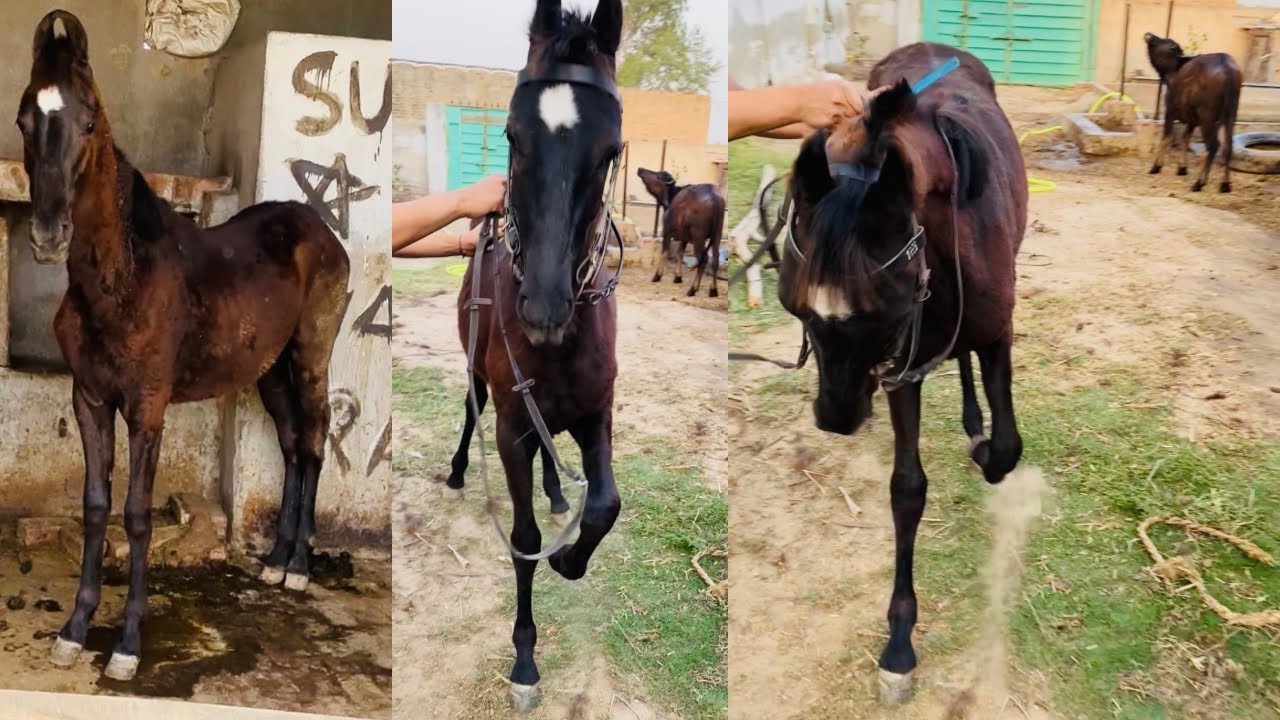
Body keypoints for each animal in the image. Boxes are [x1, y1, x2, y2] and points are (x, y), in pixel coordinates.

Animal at [19, 10, 349, 681]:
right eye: (23, 118)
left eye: (88, 121)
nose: (47, 233)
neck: (122, 279)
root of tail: (322, 231)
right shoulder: (89, 400)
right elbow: (96, 505)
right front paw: (74, 631)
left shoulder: (147, 409)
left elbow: (137, 514)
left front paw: (127, 644)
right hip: (269, 373)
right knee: (290, 444)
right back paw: (275, 560)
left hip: (311, 357)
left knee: (313, 440)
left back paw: (301, 568)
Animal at [638, 168, 726, 297]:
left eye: (658, 175)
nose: (640, 169)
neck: (671, 197)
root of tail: (714, 197)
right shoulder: (684, 238)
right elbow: (679, 253)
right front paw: (678, 276)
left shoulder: (667, 232)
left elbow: (665, 252)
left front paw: (657, 275)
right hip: (717, 235)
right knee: (715, 259)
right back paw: (713, 290)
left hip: (699, 237)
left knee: (704, 259)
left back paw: (693, 289)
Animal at [776, 43, 1027, 703]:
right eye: (798, 307)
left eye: (883, 311)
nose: (836, 418)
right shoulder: (902, 370)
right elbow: (907, 489)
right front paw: (898, 646)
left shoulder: (992, 333)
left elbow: (1007, 448)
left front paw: (985, 447)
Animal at [1145, 33, 1243, 193]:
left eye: (1163, 41)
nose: (1149, 35)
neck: (1170, 73)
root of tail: (1229, 71)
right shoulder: (1192, 119)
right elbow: (1184, 138)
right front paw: (1182, 168)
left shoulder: (1170, 110)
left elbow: (1167, 136)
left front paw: (1156, 166)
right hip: (1230, 113)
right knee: (1228, 146)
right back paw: (1225, 184)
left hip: (1207, 115)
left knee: (1214, 145)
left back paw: (1199, 183)